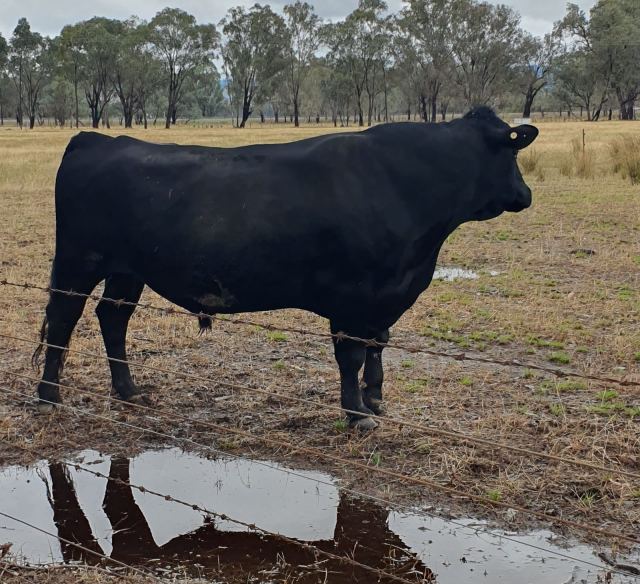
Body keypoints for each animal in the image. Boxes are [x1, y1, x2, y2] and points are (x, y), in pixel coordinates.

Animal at [34, 107, 538, 430]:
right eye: (512, 152)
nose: (526, 195)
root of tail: (96, 139)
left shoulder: (384, 297)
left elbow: (378, 346)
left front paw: (375, 400)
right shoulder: (352, 297)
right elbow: (352, 354)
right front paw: (357, 416)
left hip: (128, 270)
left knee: (112, 317)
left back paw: (128, 389)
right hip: (80, 261)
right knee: (63, 319)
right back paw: (48, 397)